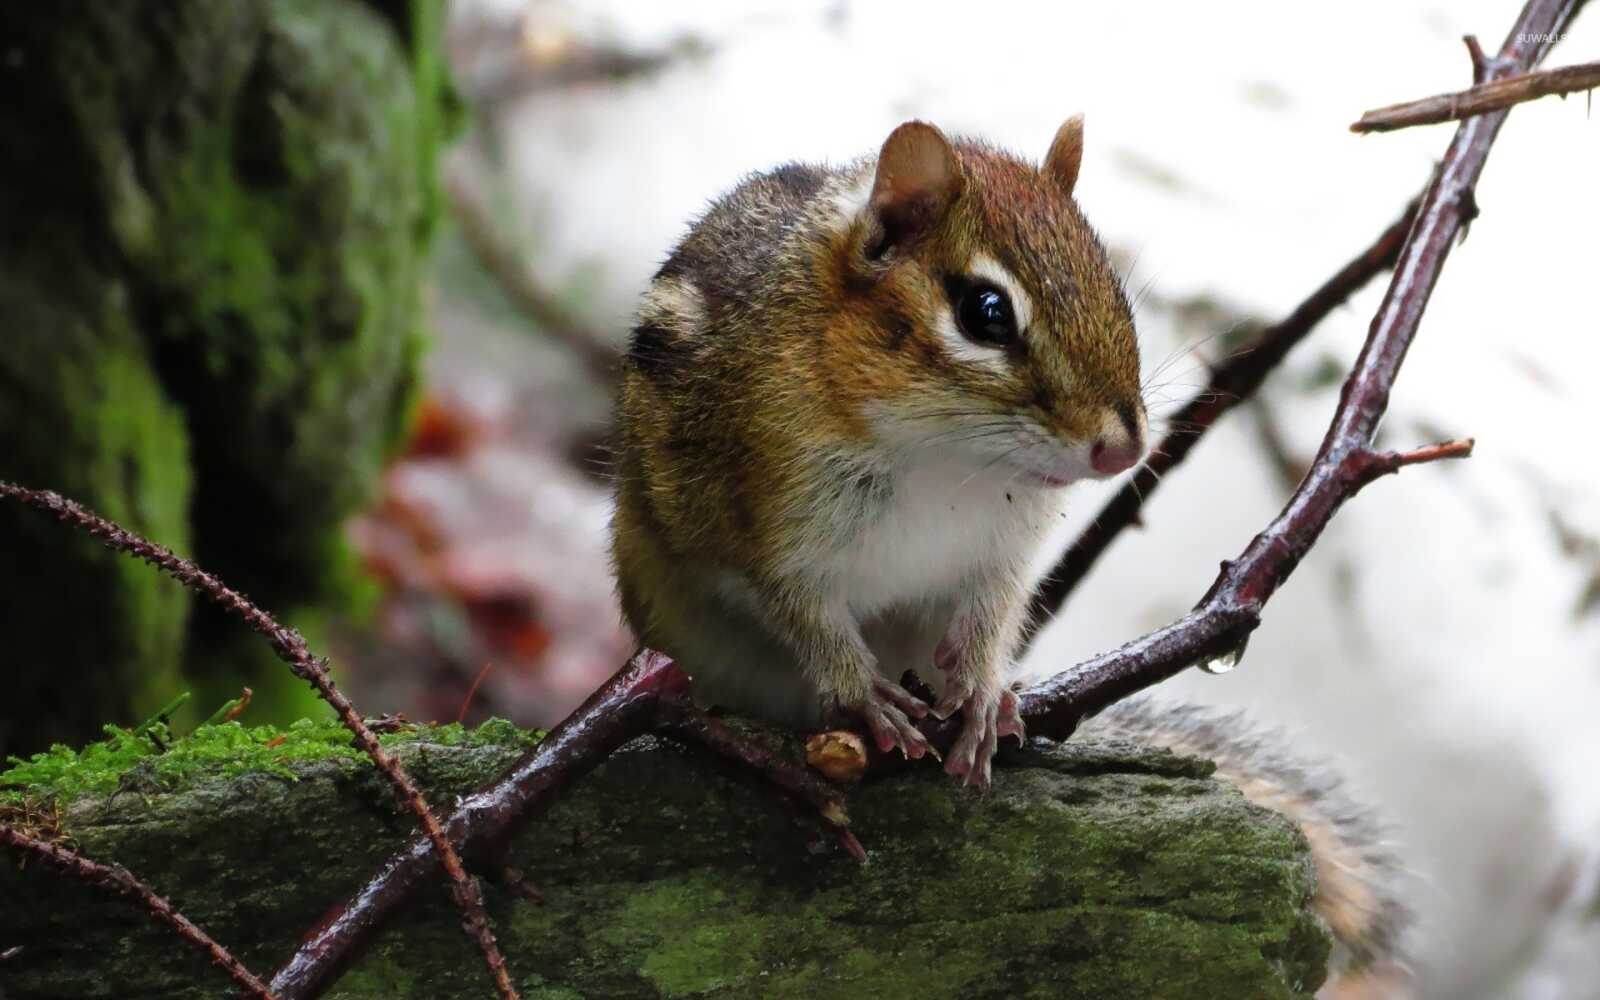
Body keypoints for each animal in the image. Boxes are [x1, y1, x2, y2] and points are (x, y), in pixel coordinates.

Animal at [609, 117, 1410, 990]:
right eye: (985, 312)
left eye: (1113, 286)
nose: (1123, 449)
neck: (943, 461)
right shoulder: (768, 536)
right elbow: (806, 620)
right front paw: (867, 696)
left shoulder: (1000, 555)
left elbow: (995, 617)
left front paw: (988, 694)